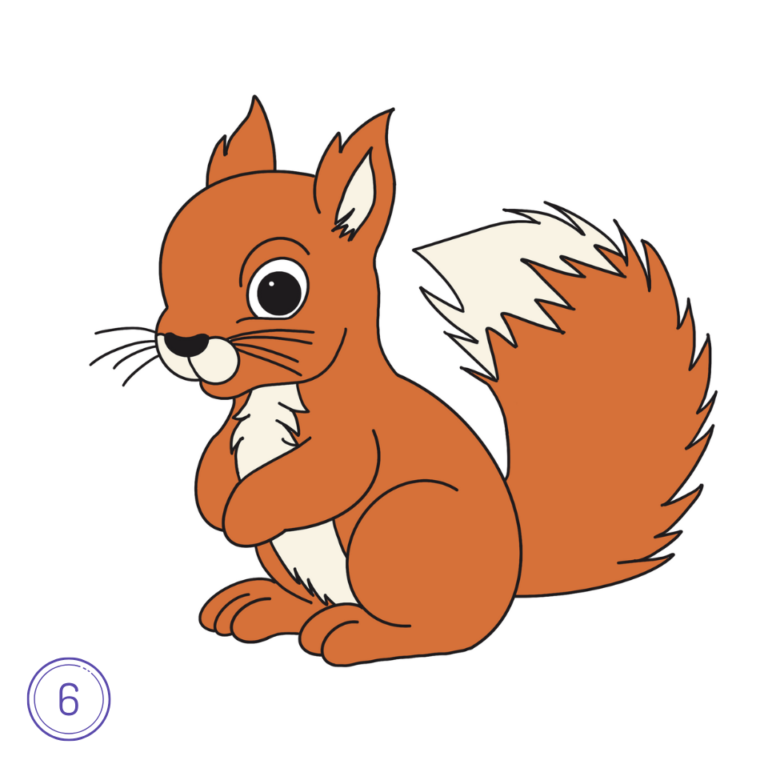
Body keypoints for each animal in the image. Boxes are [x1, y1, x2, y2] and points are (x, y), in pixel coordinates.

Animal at [97, 96, 714, 666]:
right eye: (168, 260)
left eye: (278, 290)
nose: (183, 341)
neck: (272, 394)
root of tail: (510, 576)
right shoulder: (236, 427)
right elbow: (214, 456)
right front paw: (214, 499)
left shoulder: (354, 437)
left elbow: (322, 476)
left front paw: (240, 513)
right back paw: (266, 606)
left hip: (400, 525)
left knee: (443, 633)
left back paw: (351, 634)